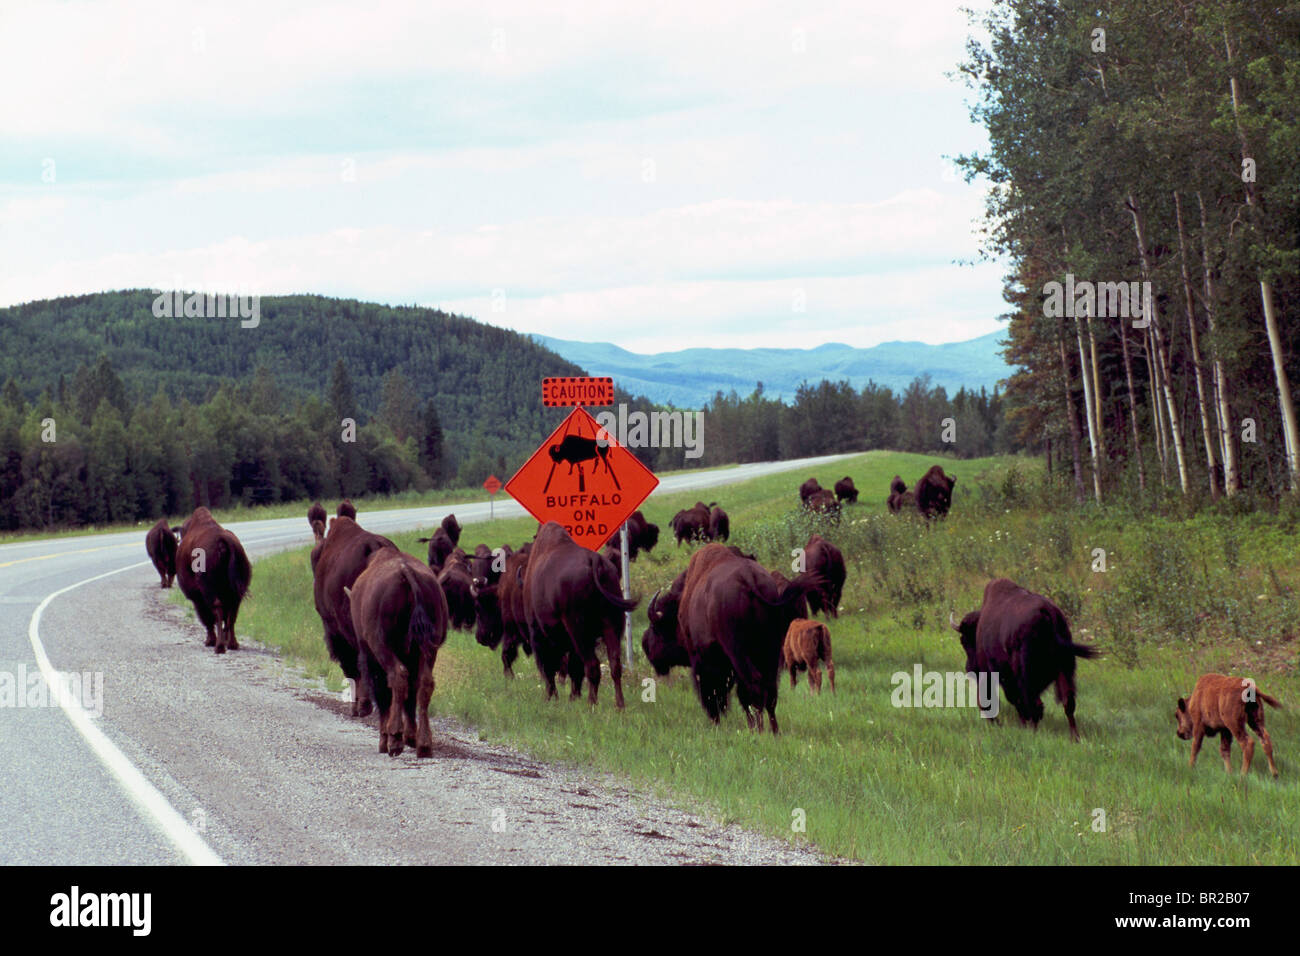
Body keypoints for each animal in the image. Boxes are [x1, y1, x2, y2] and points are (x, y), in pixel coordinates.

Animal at [175, 507, 252, 654]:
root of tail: (222, 542)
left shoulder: (197, 597)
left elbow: (206, 618)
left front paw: (209, 641)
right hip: (236, 592)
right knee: (232, 614)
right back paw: (232, 643)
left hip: (209, 590)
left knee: (217, 611)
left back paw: (219, 646)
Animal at [347, 550, 448, 757]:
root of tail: (406, 573)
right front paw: (409, 737)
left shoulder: (371, 656)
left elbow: (384, 695)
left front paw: (385, 741)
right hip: (428, 649)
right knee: (424, 684)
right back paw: (424, 745)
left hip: (383, 647)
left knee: (397, 678)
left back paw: (394, 739)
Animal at [522, 522, 637, 707]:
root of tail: (595, 561)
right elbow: (574, 668)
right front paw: (572, 696)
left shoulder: (538, 634)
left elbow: (550, 667)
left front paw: (552, 696)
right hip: (611, 625)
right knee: (614, 665)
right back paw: (619, 705)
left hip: (579, 629)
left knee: (592, 665)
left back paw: (591, 703)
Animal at [951, 578, 1097, 741]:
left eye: (964, 641)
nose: (969, 668)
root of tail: (1048, 612)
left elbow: (1012, 700)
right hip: (1064, 669)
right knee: (1068, 702)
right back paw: (1074, 738)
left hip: (1026, 675)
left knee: (1035, 704)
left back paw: (1033, 732)